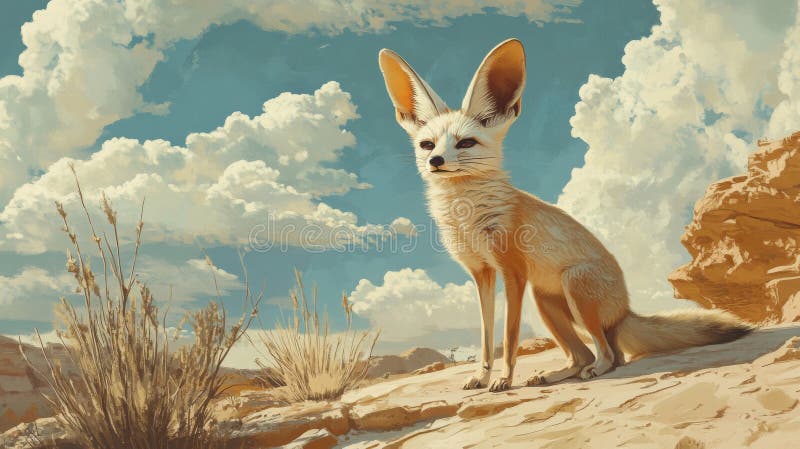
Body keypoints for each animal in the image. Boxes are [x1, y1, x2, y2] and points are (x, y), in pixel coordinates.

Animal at [378, 38, 753, 392]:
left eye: (466, 143)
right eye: (428, 144)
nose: (435, 161)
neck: (467, 215)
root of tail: (625, 309)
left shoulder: (513, 273)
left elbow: (509, 340)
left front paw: (503, 380)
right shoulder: (482, 274)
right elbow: (486, 338)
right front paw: (480, 377)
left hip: (573, 288)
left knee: (609, 355)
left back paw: (594, 370)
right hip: (545, 300)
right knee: (585, 353)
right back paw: (553, 374)